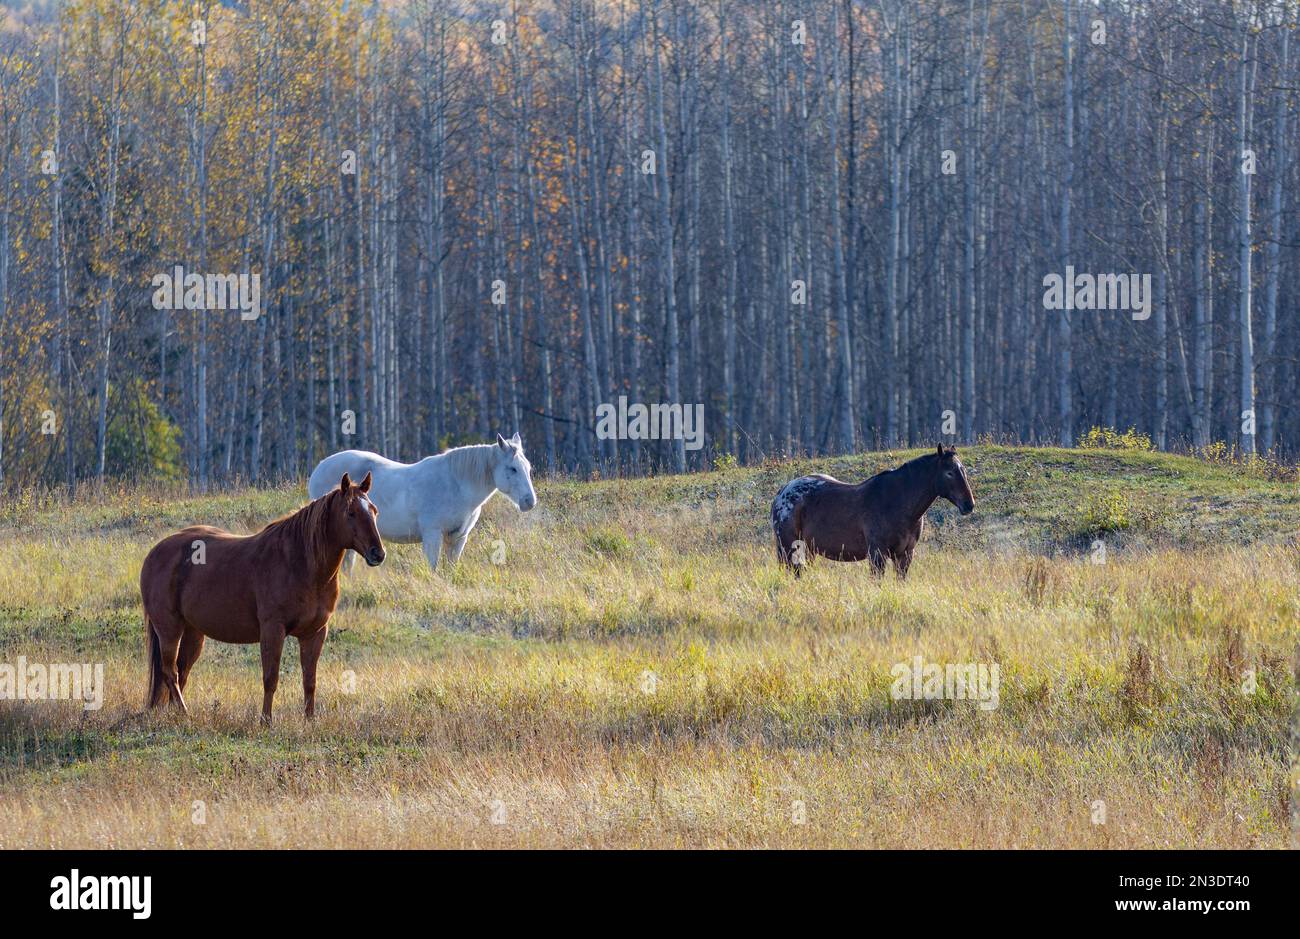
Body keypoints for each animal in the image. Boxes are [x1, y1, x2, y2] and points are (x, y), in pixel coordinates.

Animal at [140, 472, 385, 725]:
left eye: (374, 511)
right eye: (351, 512)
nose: (378, 553)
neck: (299, 564)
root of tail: (155, 553)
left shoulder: (315, 633)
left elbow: (310, 681)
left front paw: (309, 721)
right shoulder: (272, 629)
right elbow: (270, 678)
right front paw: (266, 721)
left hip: (193, 632)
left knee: (182, 670)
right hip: (169, 628)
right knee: (170, 671)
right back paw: (185, 714)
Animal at [307, 433, 537, 573]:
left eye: (528, 467)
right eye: (513, 469)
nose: (529, 501)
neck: (455, 485)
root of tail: (318, 469)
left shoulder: (458, 537)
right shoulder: (432, 536)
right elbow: (434, 568)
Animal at [770, 445, 975, 579]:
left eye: (963, 470)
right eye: (949, 473)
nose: (969, 504)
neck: (896, 503)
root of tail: (782, 493)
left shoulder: (905, 555)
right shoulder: (877, 553)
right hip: (790, 548)